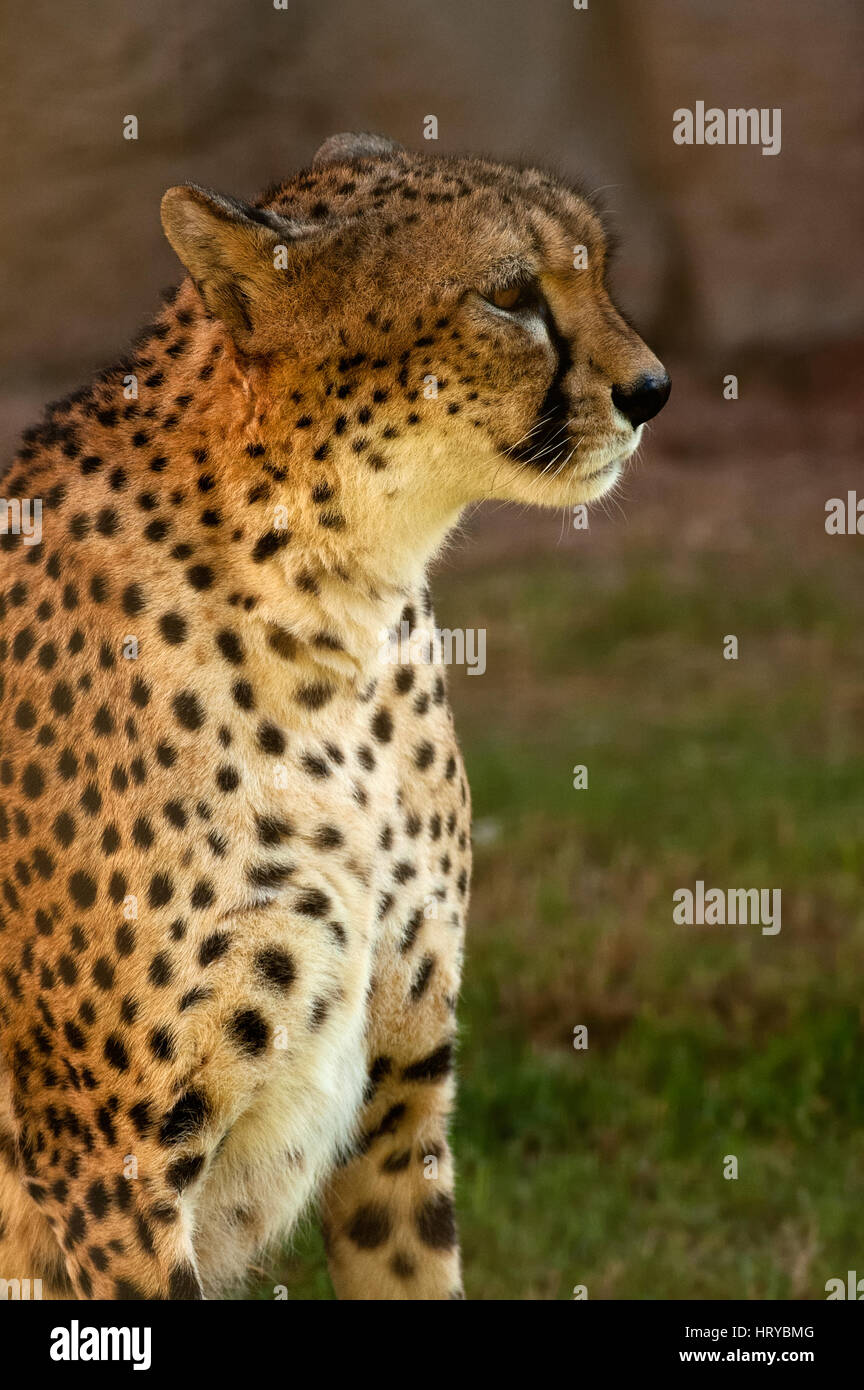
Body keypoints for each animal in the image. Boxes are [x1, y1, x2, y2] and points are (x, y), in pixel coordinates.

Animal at [0, 131, 669, 1301]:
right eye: (511, 296)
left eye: (596, 270)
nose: (654, 389)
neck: (339, 607)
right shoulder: (111, 1164)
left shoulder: (401, 1102)